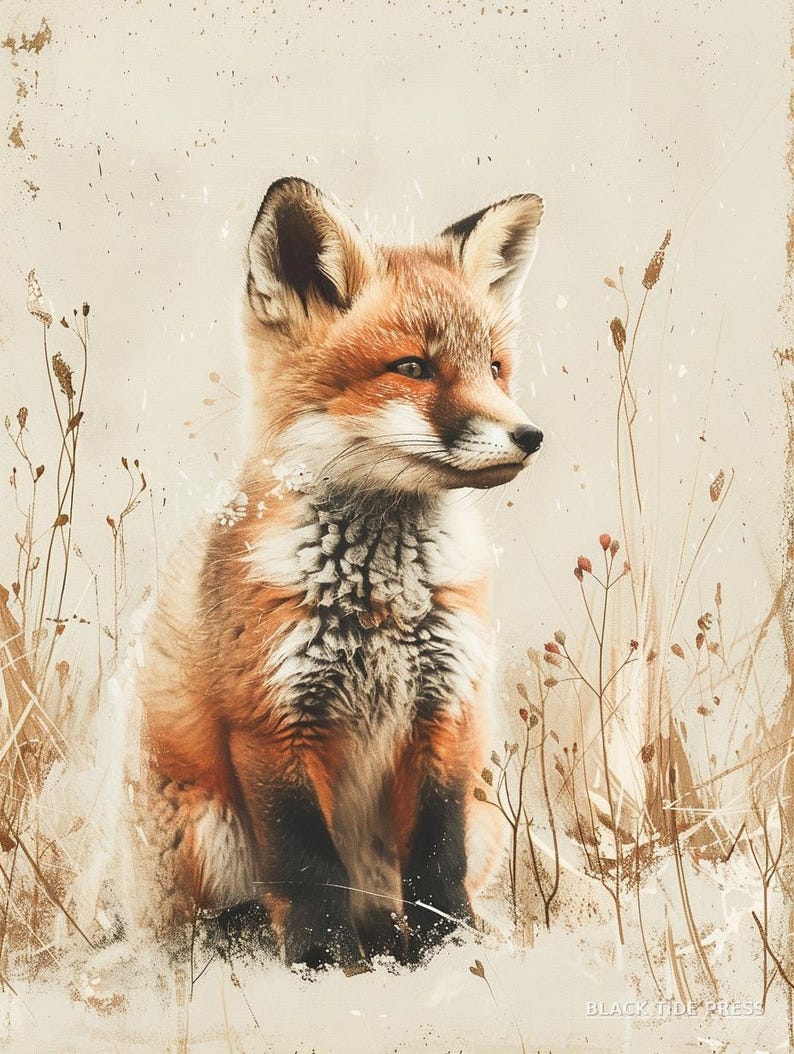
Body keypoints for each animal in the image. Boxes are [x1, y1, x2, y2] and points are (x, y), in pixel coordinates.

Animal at [135, 176, 544, 969]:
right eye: (412, 368)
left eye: (495, 369)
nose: (530, 436)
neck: (383, 603)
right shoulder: (272, 721)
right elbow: (306, 867)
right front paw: (323, 968)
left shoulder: (446, 714)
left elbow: (437, 860)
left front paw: (450, 954)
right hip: (211, 826)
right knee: (216, 915)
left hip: (485, 821)